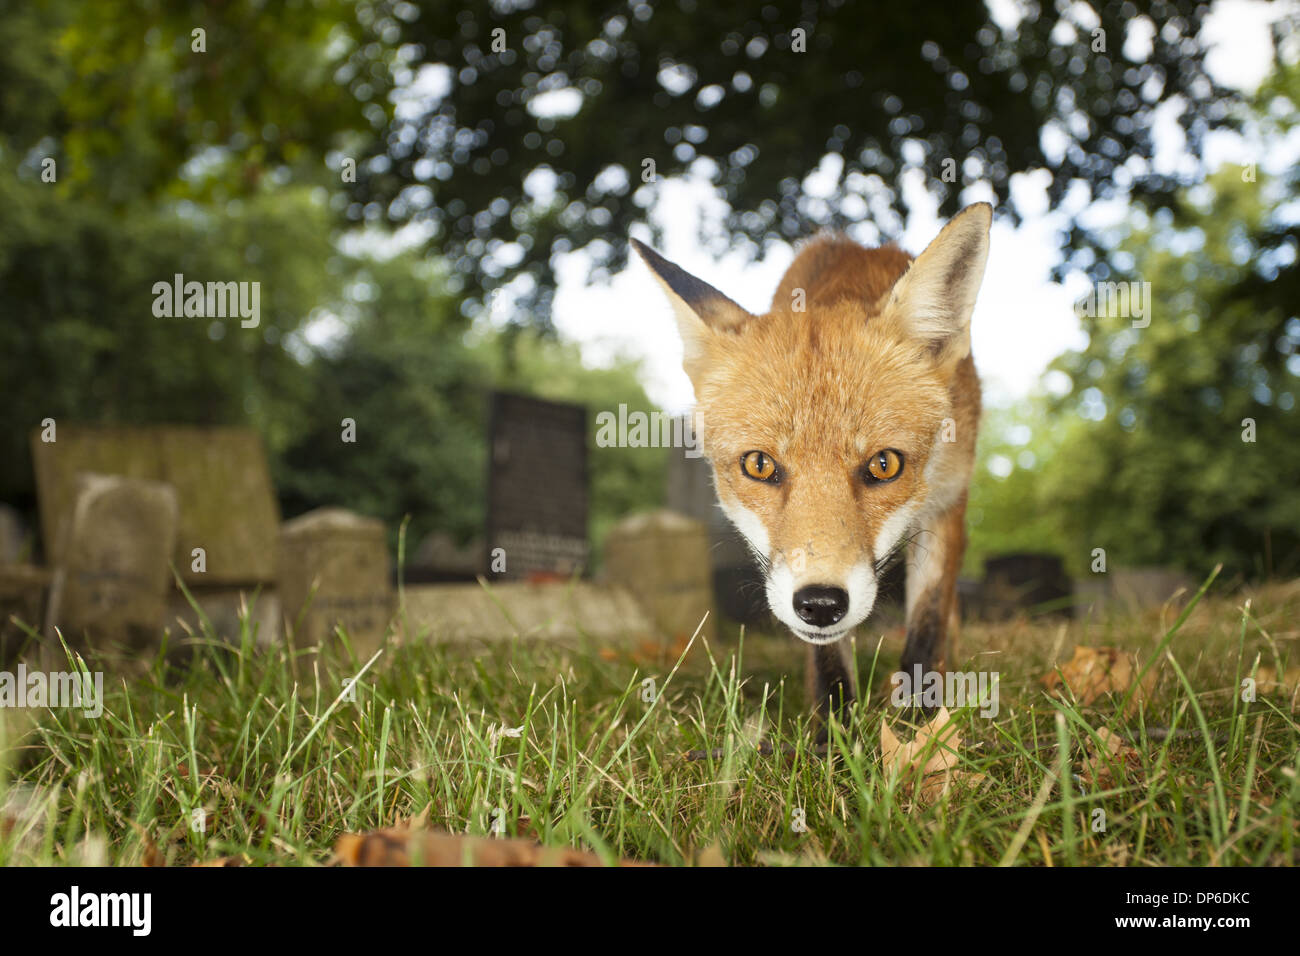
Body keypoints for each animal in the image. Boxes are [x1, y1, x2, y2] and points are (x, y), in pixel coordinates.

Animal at [631, 202, 992, 731]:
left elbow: (926, 628)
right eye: (760, 465)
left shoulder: (946, 502)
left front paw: (919, 728)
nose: (821, 605)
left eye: (884, 464)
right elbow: (827, 660)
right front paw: (833, 736)